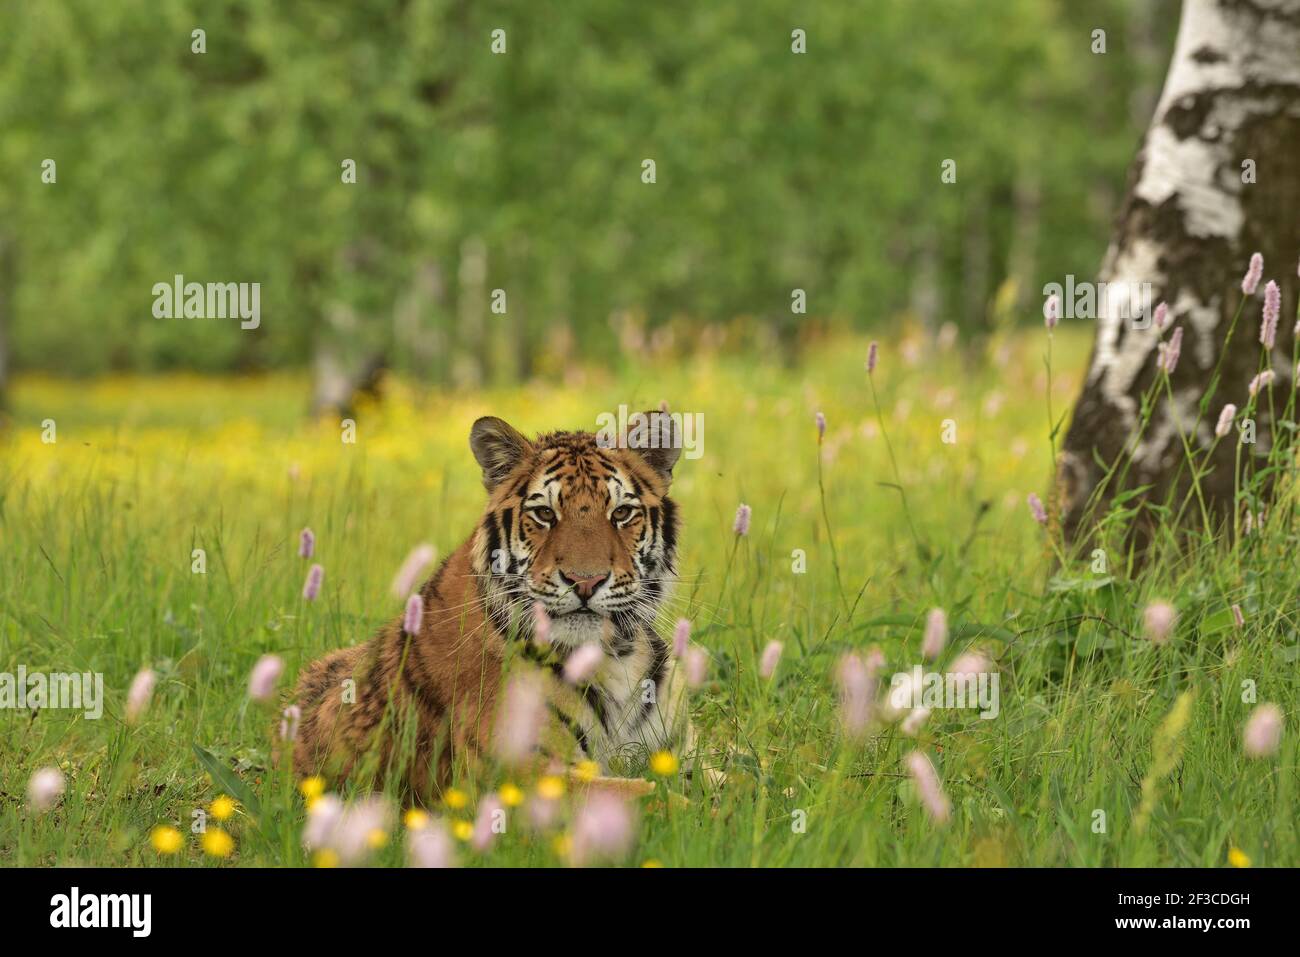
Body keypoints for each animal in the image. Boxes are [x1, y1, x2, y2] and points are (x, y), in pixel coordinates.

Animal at [291, 412, 702, 800]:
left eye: (620, 513)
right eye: (545, 514)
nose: (584, 581)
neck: (614, 656)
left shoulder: (679, 752)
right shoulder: (520, 774)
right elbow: (651, 798)